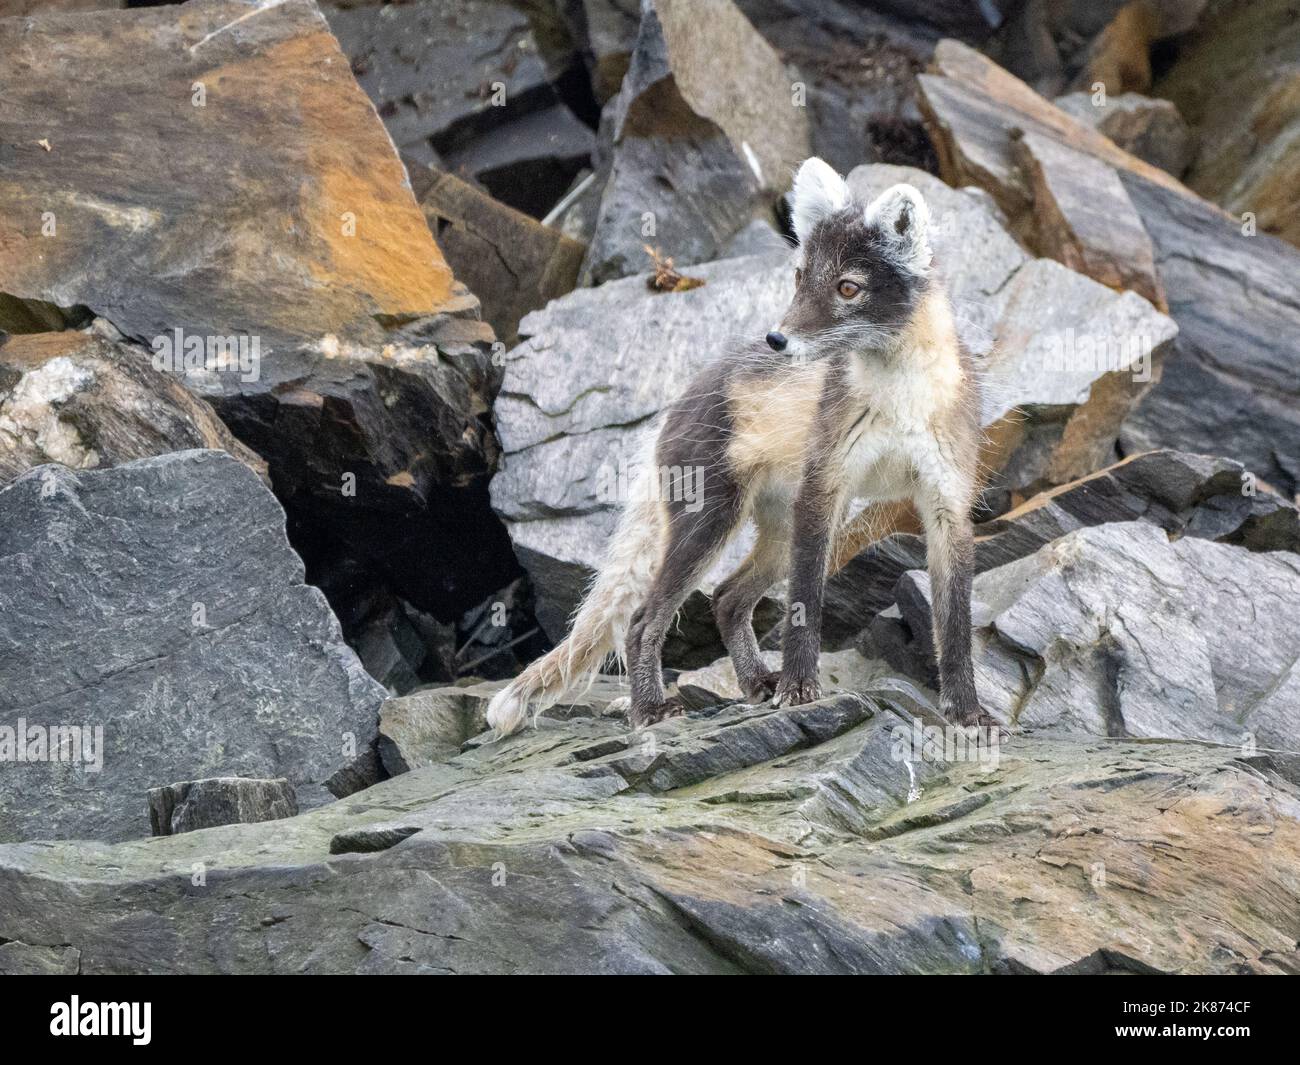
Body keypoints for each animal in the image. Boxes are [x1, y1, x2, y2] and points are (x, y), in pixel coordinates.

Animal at [487, 157, 991, 736]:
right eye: (799, 276)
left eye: (847, 287)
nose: (777, 339)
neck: (899, 401)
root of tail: (674, 408)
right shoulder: (824, 489)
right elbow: (805, 606)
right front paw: (800, 689)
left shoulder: (947, 504)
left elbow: (955, 624)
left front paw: (967, 711)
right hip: (712, 523)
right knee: (639, 621)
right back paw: (650, 710)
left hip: (784, 529)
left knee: (727, 599)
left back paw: (754, 683)